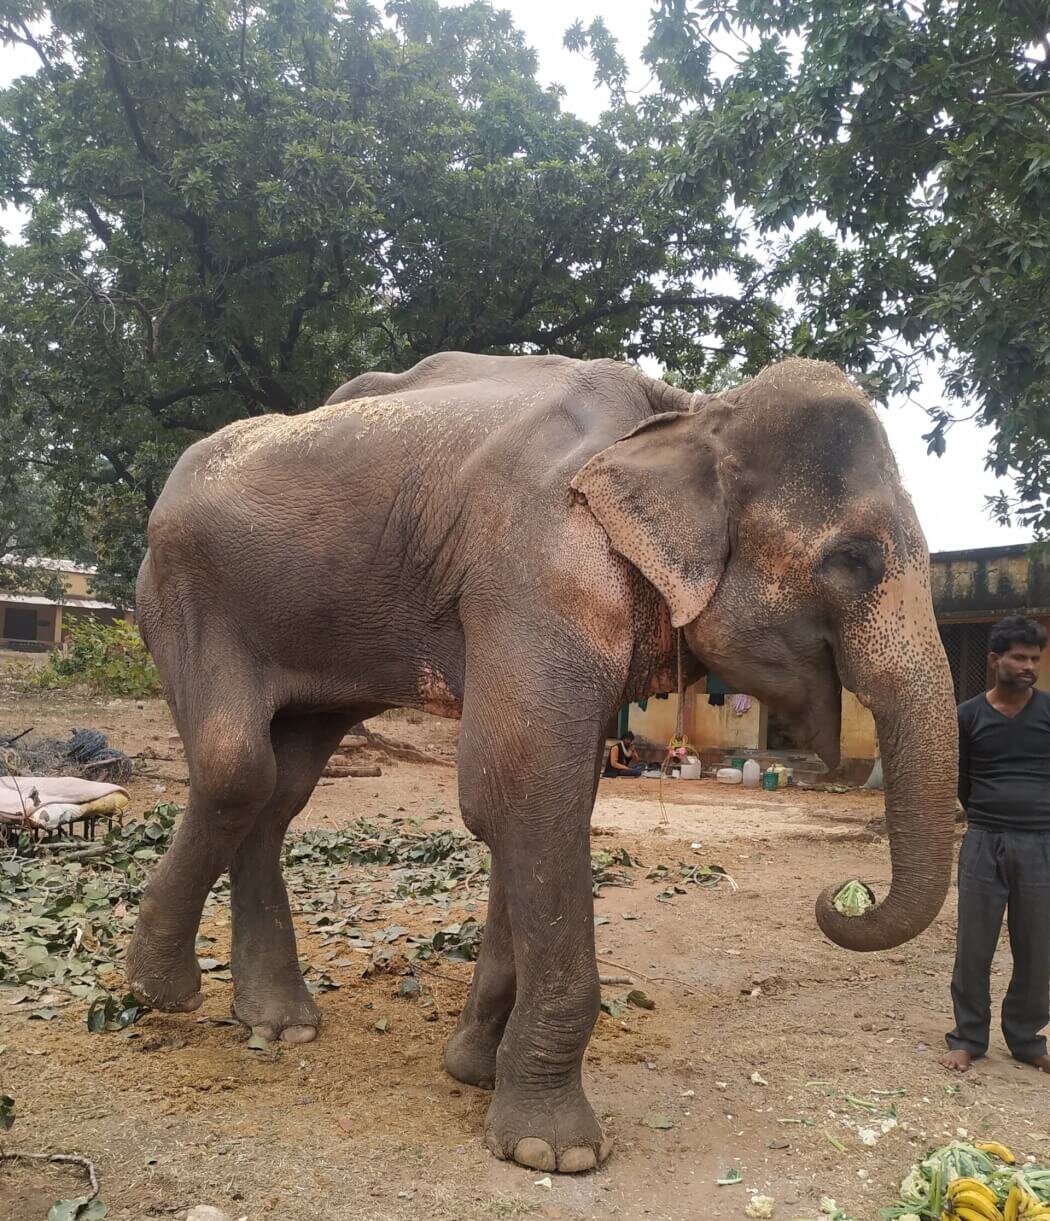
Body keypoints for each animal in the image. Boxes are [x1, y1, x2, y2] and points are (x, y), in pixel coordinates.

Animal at [126, 352, 958, 1174]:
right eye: (854, 560)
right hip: (183, 592)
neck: (688, 410)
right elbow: (521, 787)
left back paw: (277, 1022)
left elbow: (547, 797)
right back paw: (165, 993)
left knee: (283, 785)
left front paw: (473, 1069)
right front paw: (551, 1150)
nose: (839, 896)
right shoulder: (540, 568)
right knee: (237, 765)